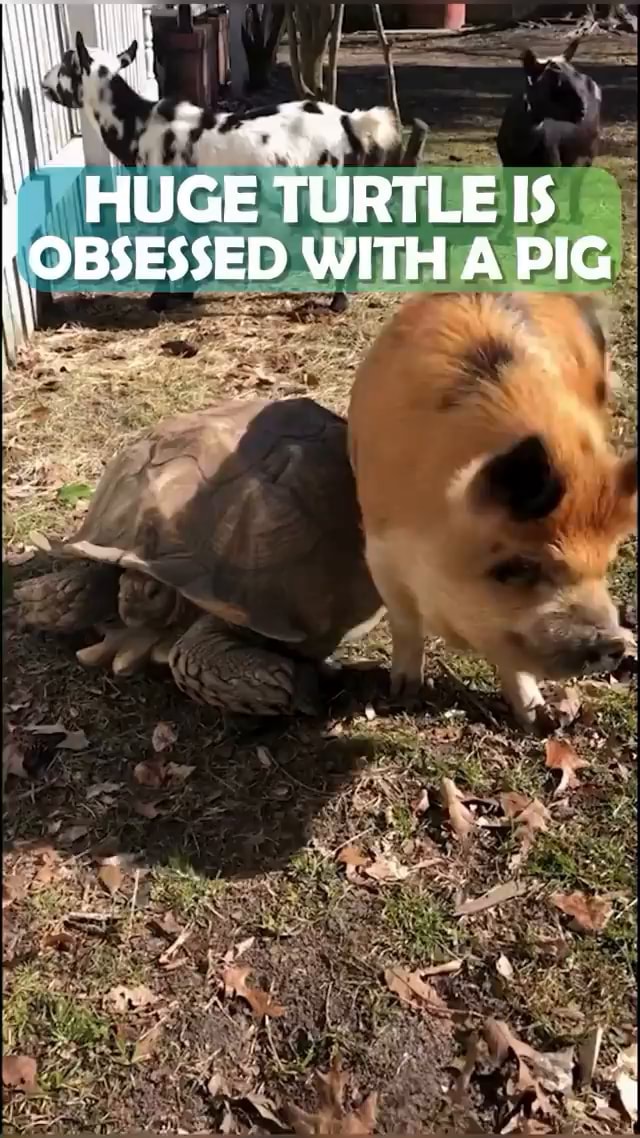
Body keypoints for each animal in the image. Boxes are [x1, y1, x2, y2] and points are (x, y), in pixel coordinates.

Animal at [348, 292, 637, 730]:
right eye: (519, 567)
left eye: (607, 564)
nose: (615, 642)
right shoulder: (378, 548)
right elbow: (405, 622)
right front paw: (403, 693)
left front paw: (536, 718)